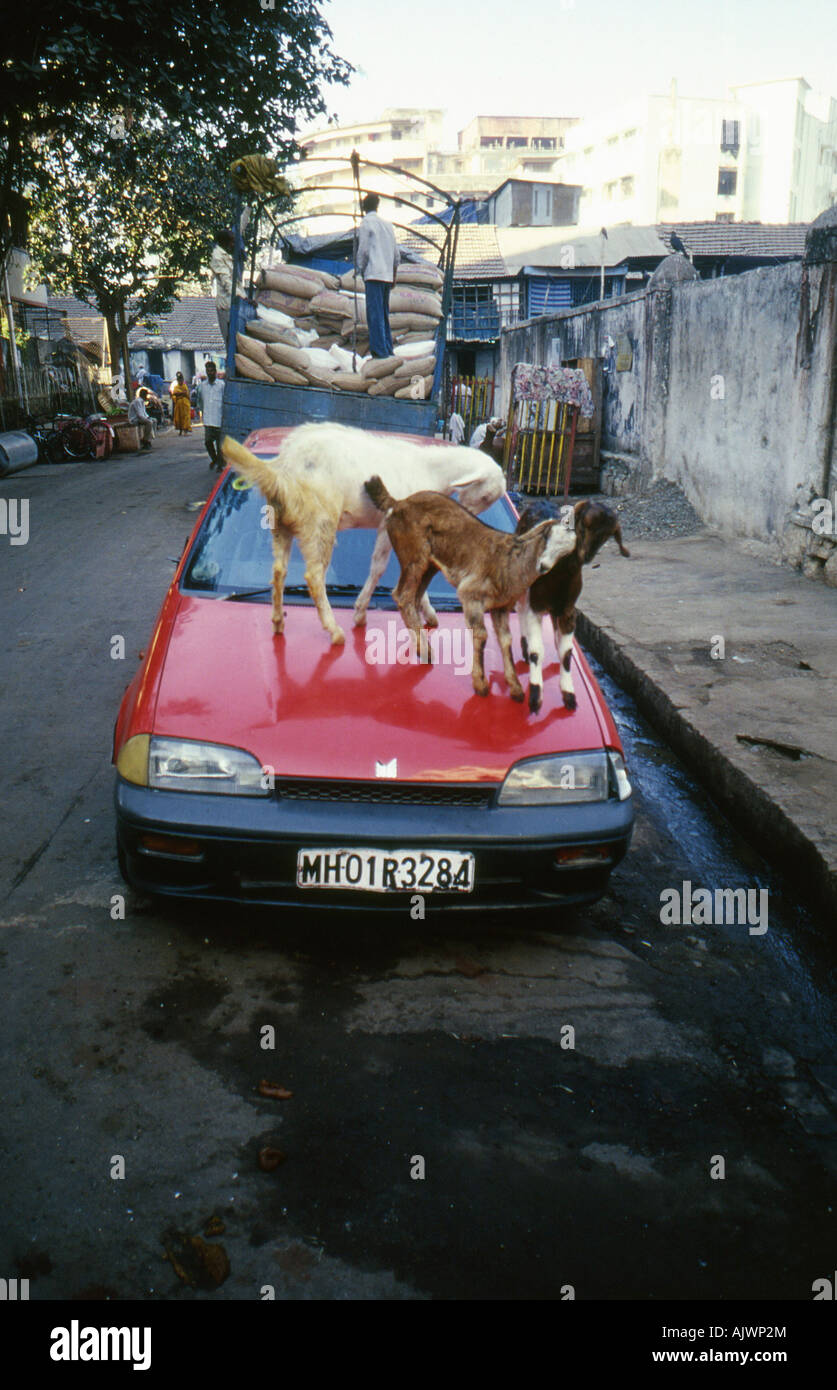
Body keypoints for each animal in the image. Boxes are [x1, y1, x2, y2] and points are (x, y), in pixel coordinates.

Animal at [220, 423, 505, 645]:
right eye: (486, 495)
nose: (468, 519)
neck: (431, 470)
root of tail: (284, 465)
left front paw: (428, 613)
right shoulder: (391, 522)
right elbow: (379, 567)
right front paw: (360, 613)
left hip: (281, 522)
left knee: (279, 570)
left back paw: (279, 622)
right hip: (319, 520)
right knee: (314, 575)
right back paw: (334, 630)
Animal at [364, 475, 577, 700]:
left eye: (566, 554)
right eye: (545, 538)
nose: (543, 566)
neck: (510, 562)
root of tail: (397, 504)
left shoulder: (501, 607)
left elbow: (505, 640)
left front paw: (516, 688)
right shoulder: (471, 595)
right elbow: (481, 635)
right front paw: (480, 685)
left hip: (429, 564)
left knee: (413, 596)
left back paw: (421, 645)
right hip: (413, 553)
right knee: (402, 595)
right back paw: (427, 652)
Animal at [516, 498, 630, 714]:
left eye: (607, 535)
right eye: (584, 524)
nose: (586, 555)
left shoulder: (569, 611)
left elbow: (567, 654)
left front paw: (569, 695)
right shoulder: (536, 605)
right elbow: (537, 652)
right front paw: (535, 697)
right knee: (520, 611)